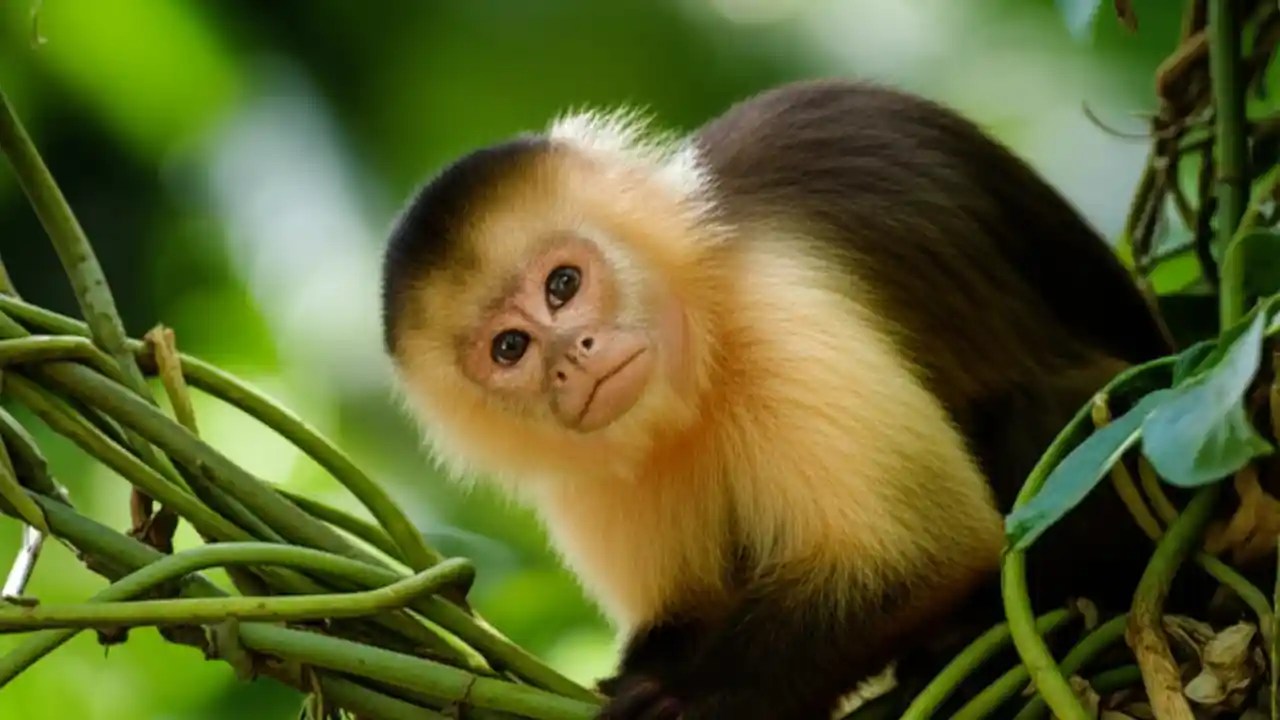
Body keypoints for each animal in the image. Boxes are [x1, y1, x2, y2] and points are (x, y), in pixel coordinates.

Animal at [379, 79, 1191, 719]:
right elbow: (689, 609)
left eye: (563, 284)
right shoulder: (590, 476)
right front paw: (651, 670)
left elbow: (923, 556)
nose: (572, 358)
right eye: (510, 348)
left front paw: (689, 696)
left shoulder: (782, 315)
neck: (697, 373)